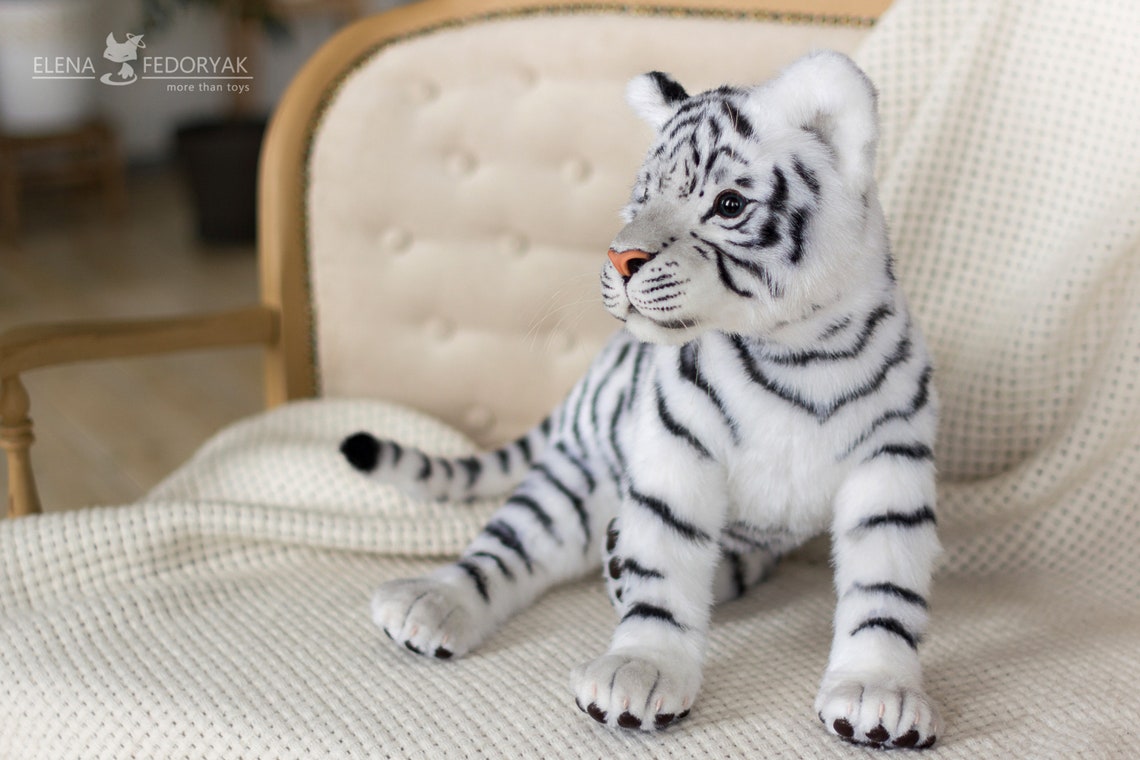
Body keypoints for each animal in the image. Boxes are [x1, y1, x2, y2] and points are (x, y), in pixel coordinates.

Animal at [340, 50, 941, 750]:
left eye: (728, 204)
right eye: (642, 199)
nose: (620, 256)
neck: (798, 352)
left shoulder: (891, 467)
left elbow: (885, 593)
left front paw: (880, 694)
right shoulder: (677, 452)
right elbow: (661, 575)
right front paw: (639, 677)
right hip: (569, 483)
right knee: (500, 550)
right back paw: (430, 606)